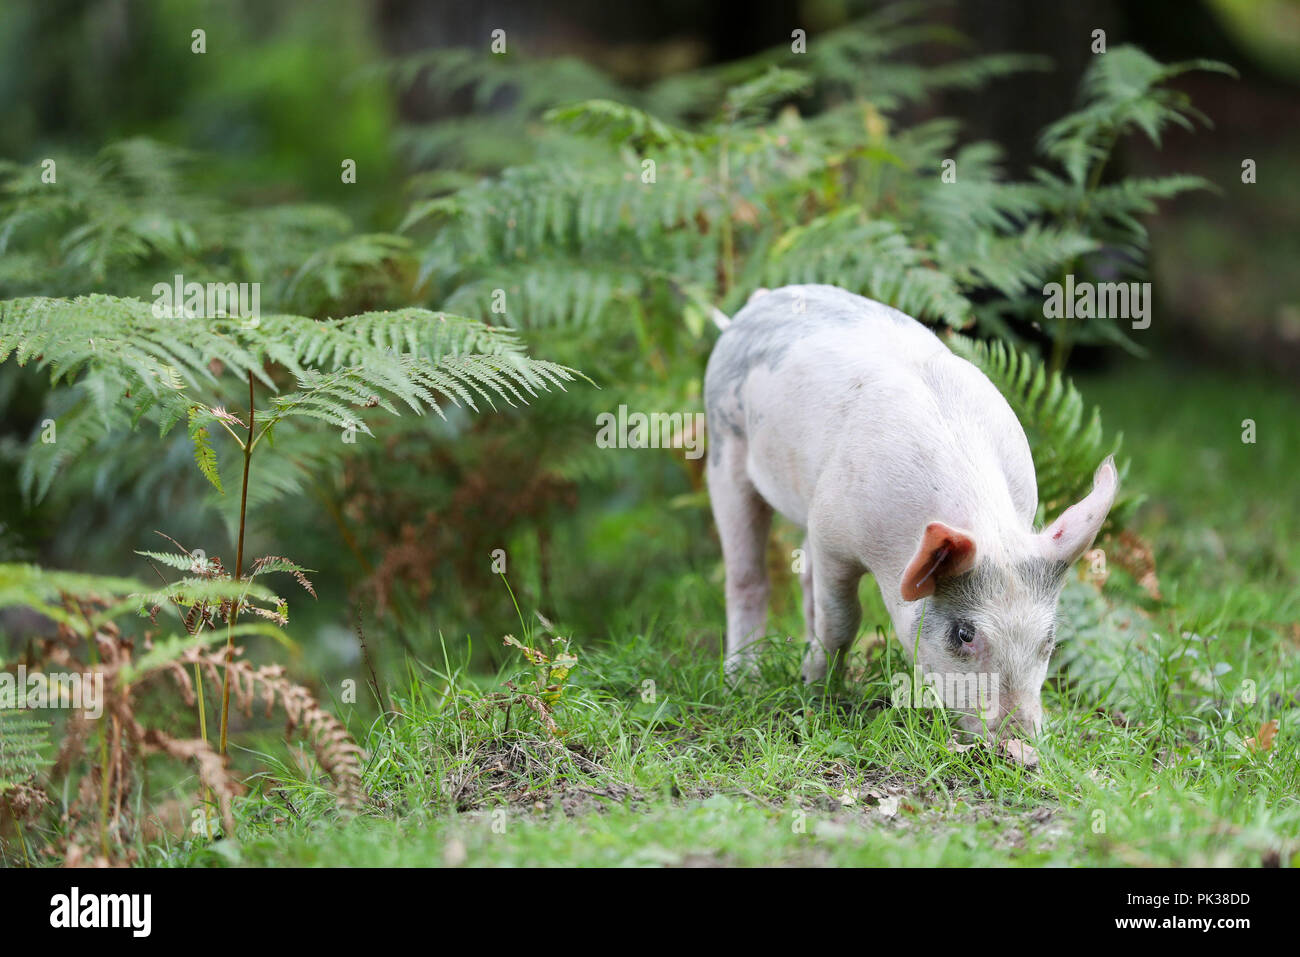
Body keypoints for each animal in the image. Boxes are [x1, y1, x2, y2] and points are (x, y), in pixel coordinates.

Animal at [703, 284, 1118, 739]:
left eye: (1050, 639)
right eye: (964, 633)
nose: (1018, 743)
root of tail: (760, 301)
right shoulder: (833, 536)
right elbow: (842, 620)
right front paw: (817, 689)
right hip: (723, 444)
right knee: (747, 577)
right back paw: (742, 680)